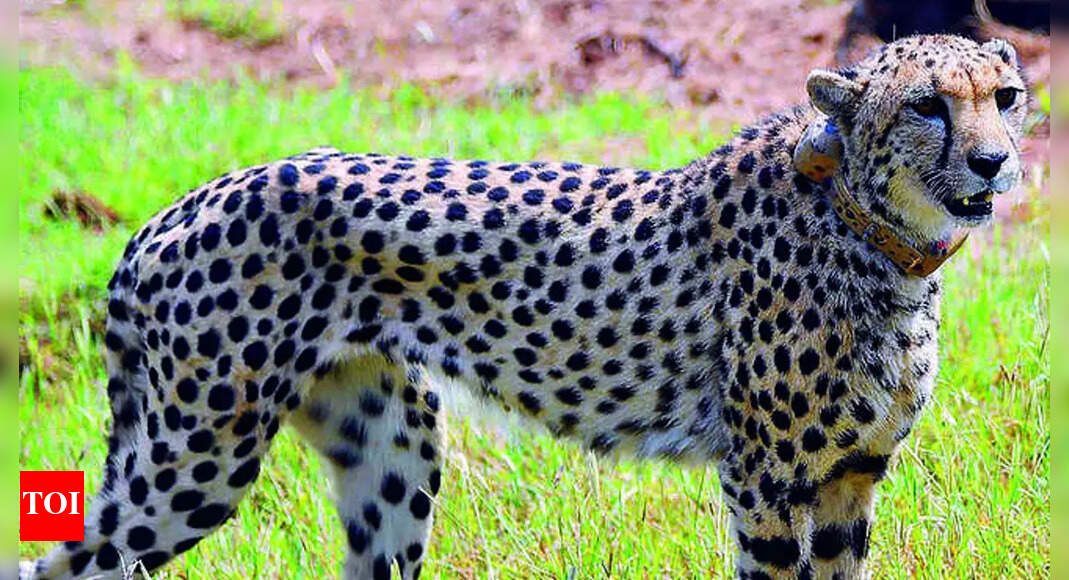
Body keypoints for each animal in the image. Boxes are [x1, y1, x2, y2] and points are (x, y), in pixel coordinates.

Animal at [21, 34, 1026, 580]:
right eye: (928, 106)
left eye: (1007, 98)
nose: (993, 162)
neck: (880, 233)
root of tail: (178, 206)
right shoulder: (767, 479)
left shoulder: (851, 477)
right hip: (196, 458)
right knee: (63, 559)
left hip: (391, 451)